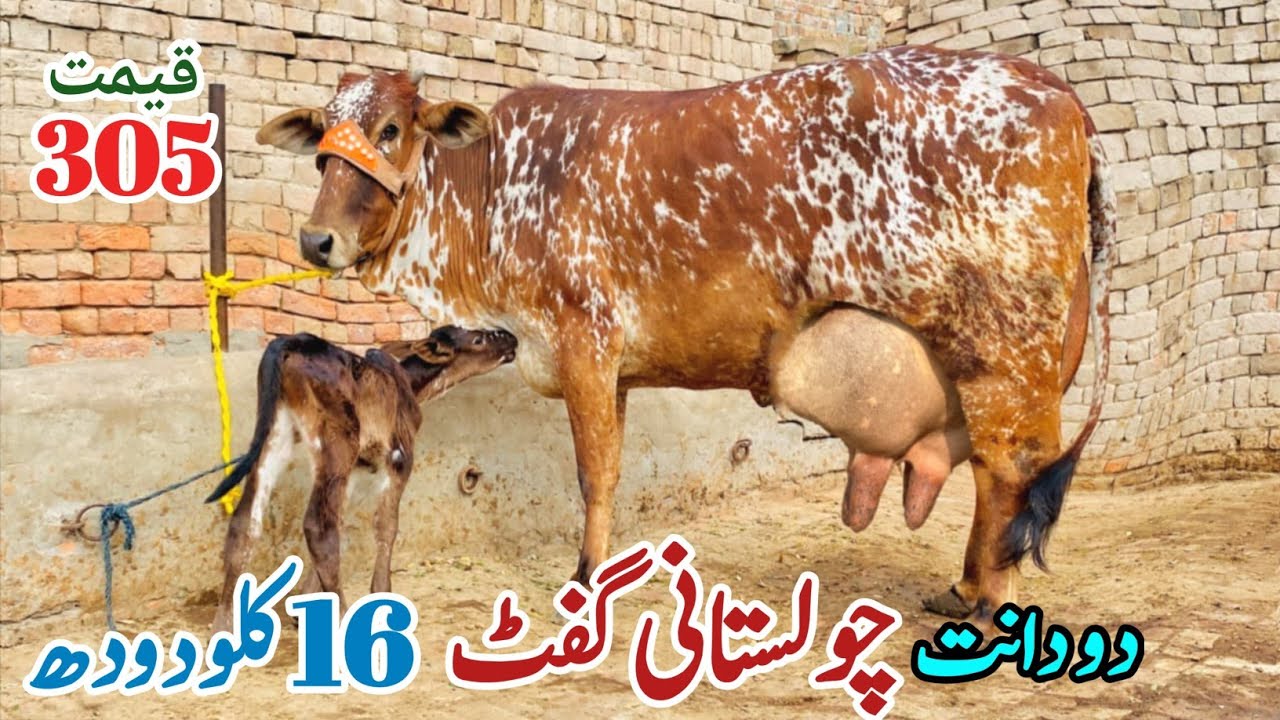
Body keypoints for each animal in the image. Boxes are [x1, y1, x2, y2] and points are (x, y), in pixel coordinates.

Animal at [207, 326, 517, 633]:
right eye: (478, 339)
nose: (510, 337)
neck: (413, 386)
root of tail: (289, 343)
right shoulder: (399, 458)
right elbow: (386, 527)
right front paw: (382, 595)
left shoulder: (358, 466)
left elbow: (345, 521)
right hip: (336, 440)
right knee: (318, 527)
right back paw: (342, 618)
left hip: (275, 437)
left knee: (245, 522)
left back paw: (223, 628)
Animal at [256, 44, 1114, 622]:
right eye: (323, 137)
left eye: (392, 129)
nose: (317, 240)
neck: (495, 190)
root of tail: (1056, 92)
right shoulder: (613, 368)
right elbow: (608, 470)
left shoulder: (585, 342)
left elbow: (594, 474)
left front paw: (584, 579)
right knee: (1000, 475)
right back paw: (967, 587)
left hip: (1005, 348)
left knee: (1013, 467)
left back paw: (988, 600)